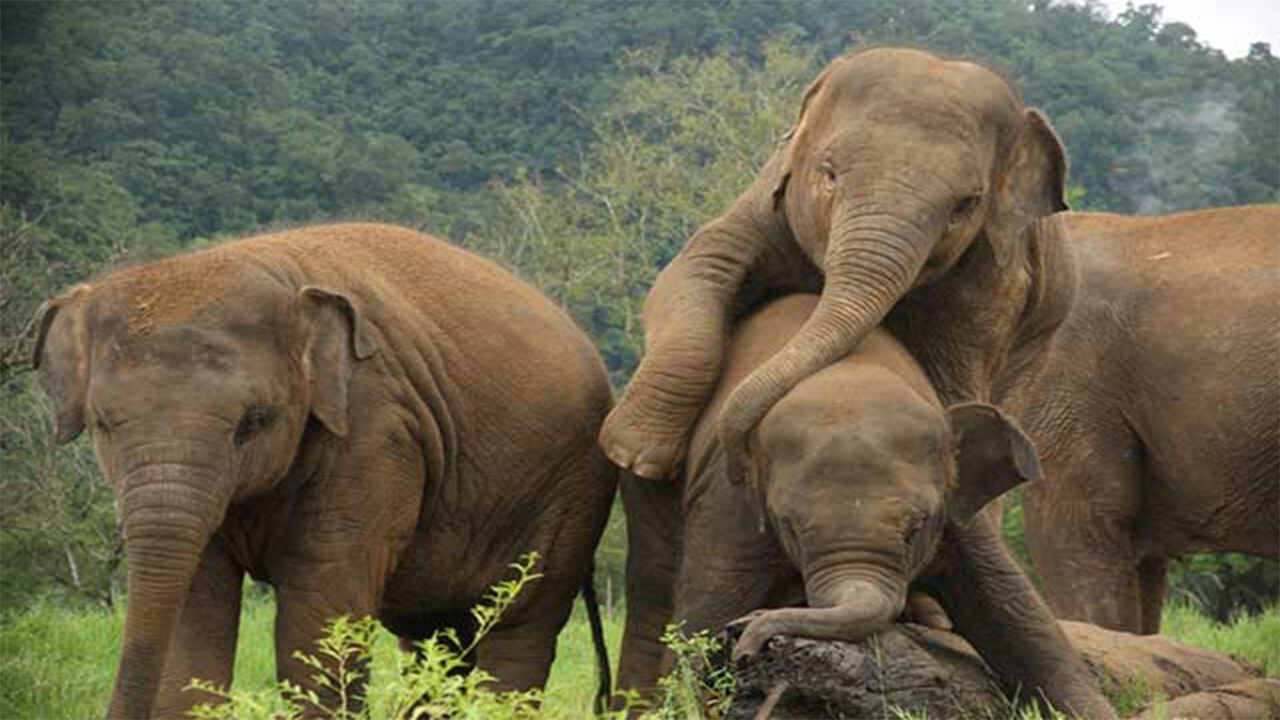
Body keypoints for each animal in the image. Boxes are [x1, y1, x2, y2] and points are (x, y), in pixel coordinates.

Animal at [31, 223, 616, 718]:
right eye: (103, 424)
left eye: (253, 422)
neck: (284, 279)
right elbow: (196, 603)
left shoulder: (375, 431)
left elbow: (319, 608)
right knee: (435, 636)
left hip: (567, 494)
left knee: (521, 625)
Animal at [599, 47, 1070, 486]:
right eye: (829, 174)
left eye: (965, 206)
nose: (739, 467)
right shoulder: (767, 202)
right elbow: (699, 265)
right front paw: (634, 456)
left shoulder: (990, 281)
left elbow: (953, 380)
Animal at [617, 294, 1115, 718]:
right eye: (789, 527)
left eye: (917, 528)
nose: (747, 638)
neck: (850, 377)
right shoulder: (729, 501)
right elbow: (703, 617)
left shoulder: (957, 513)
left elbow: (1017, 616)